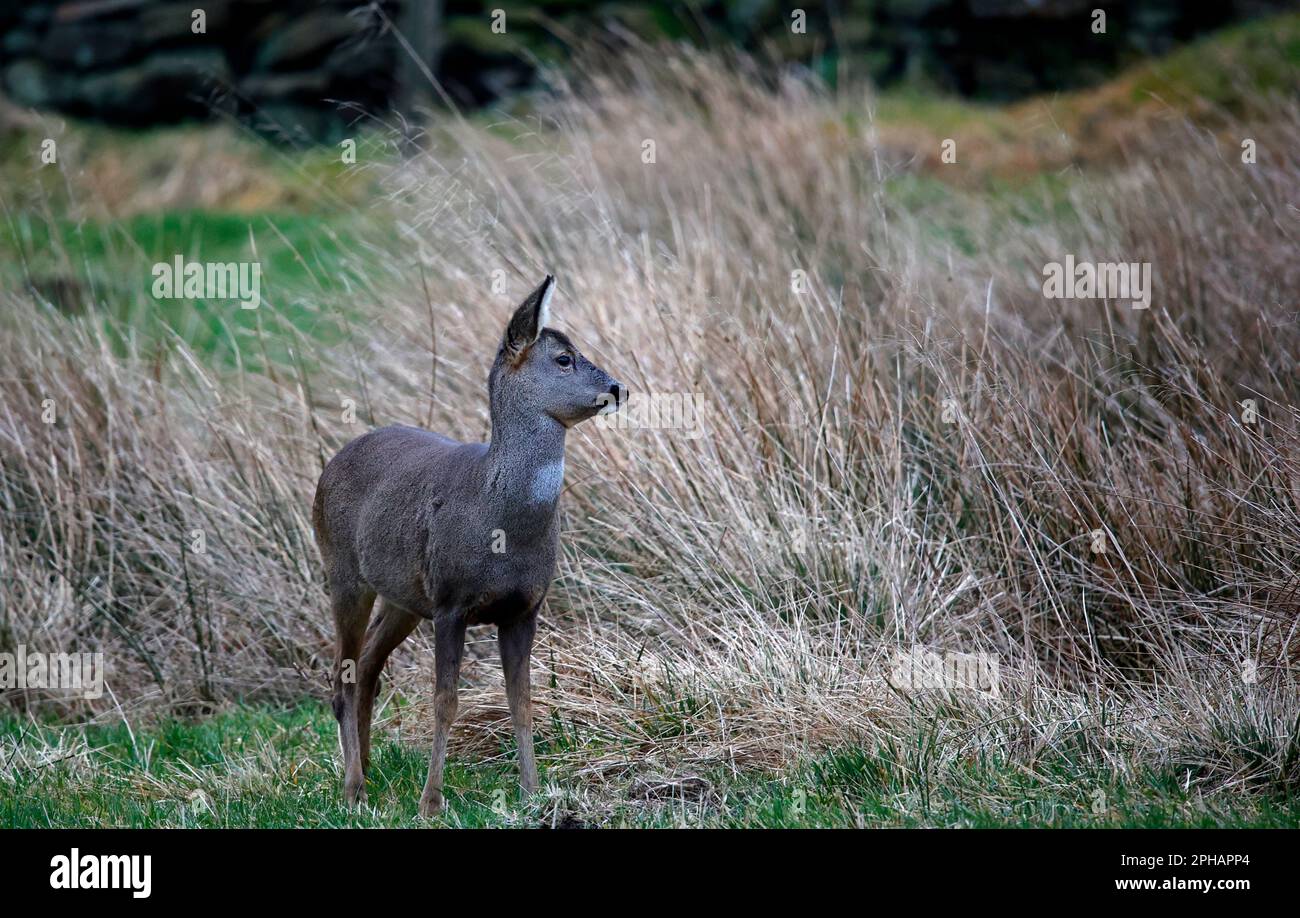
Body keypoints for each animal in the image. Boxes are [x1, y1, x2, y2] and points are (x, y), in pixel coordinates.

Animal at [311, 275, 624, 816]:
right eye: (564, 358)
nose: (617, 388)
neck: (499, 521)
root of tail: (331, 463)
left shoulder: (524, 607)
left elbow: (523, 702)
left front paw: (532, 792)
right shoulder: (452, 602)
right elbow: (446, 701)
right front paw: (431, 802)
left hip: (404, 596)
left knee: (368, 664)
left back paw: (367, 770)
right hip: (344, 571)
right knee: (342, 675)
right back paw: (353, 788)